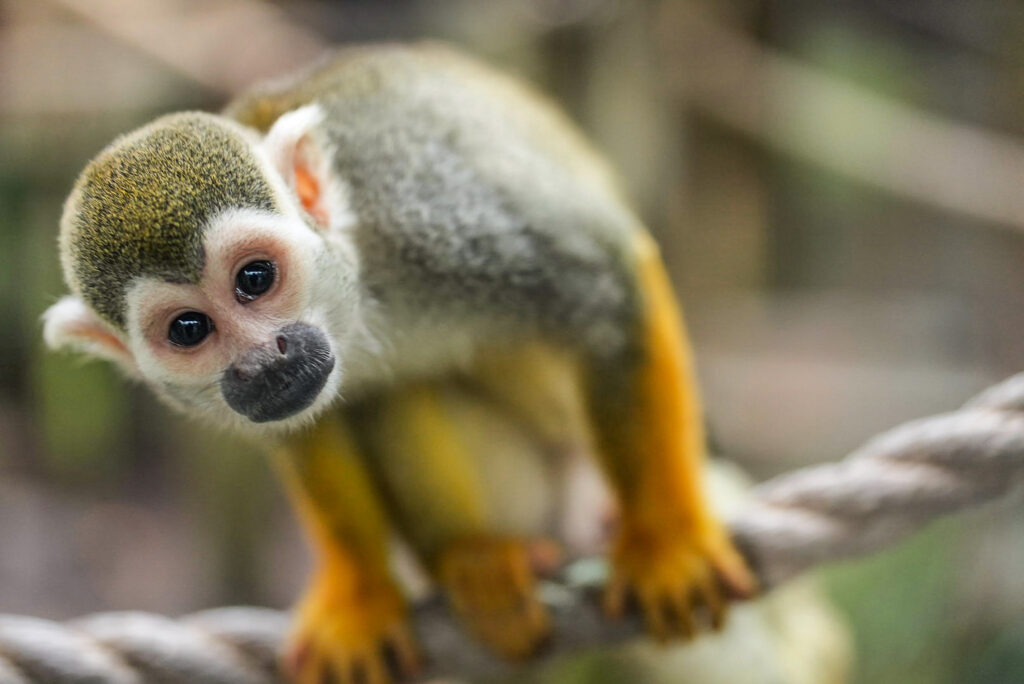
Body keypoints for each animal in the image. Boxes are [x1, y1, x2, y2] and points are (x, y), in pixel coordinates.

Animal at [42, 43, 757, 684]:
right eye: (188, 330)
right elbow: (312, 426)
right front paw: (359, 598)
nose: (264, 360)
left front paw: (666, 544)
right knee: (392, 398)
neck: (360, 301)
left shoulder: (439, 216)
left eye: (254, 278)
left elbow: (608, 286)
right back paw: (473, 562)